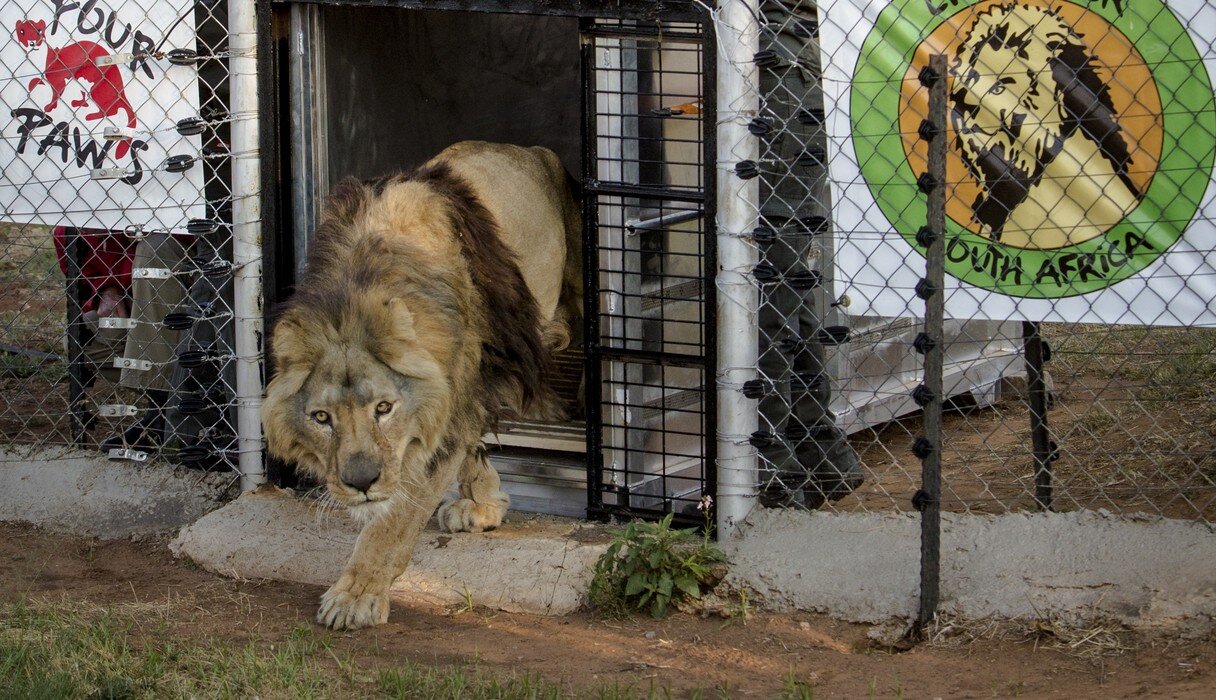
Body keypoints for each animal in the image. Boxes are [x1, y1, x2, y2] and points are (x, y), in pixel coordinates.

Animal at [262, 141, 582, 630]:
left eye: (384, 408)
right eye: (321, 417)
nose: (361, 482)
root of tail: (527, 149)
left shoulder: (449, 408)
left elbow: (393, 521)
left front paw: (356, 595)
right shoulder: (460, 393)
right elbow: (469, 450)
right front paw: (483, 504)